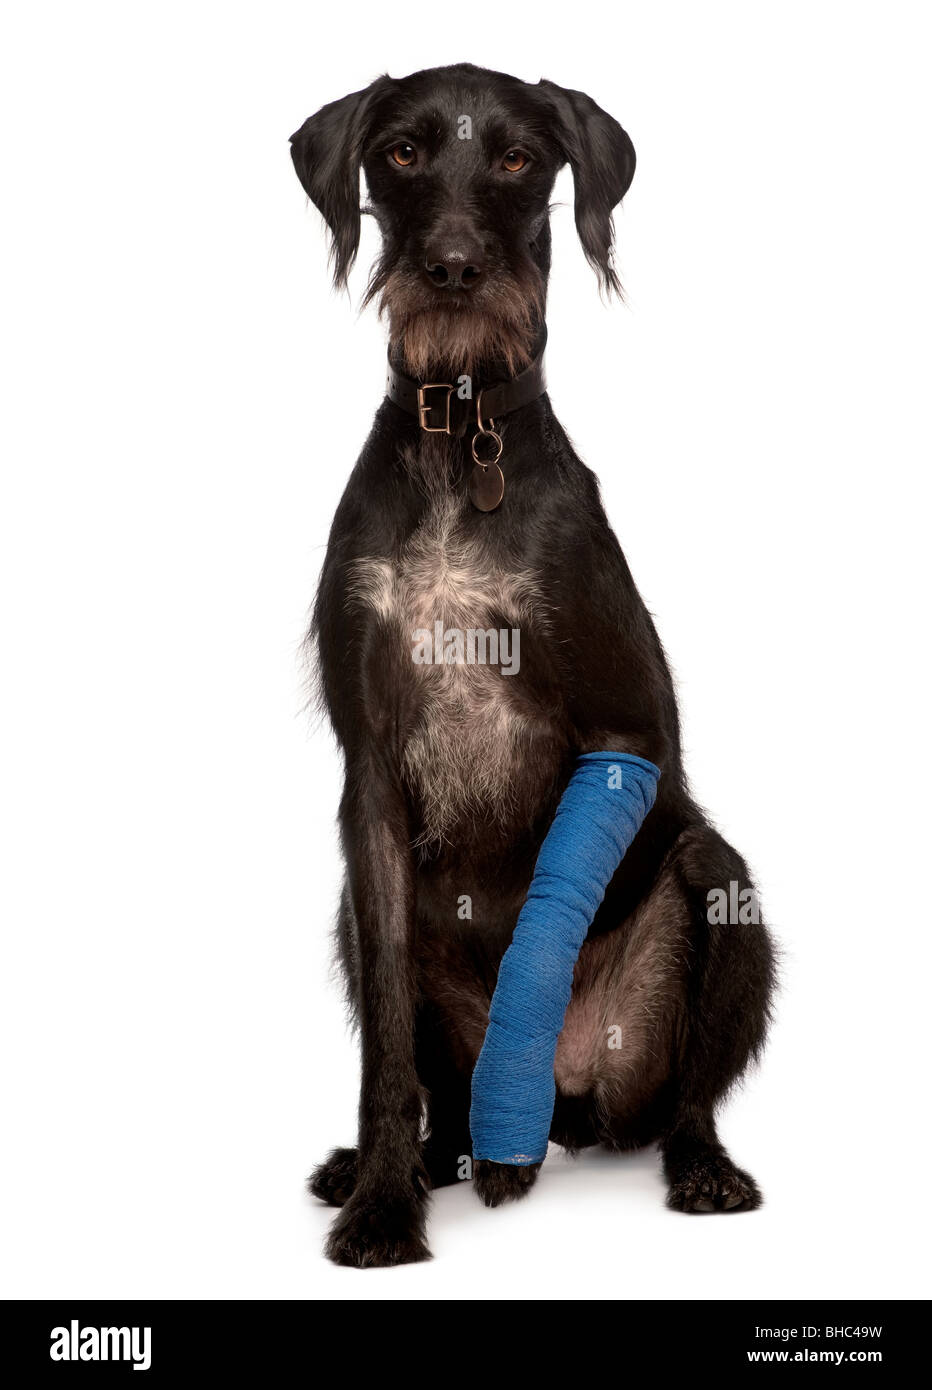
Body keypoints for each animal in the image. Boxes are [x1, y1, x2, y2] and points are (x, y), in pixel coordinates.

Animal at [290, 62, 772, 1273]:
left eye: (515, 159)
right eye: (403, 153)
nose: (455, 269)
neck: (462, 443)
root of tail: (565, 1096)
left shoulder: (631, 732)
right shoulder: (366, 783)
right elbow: (384, 1054)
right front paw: (382, 1202)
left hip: (713, 890)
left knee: (688, 1096)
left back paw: (692, 1165)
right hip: (363, 928)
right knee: (447, 1097)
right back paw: (441, 1153)